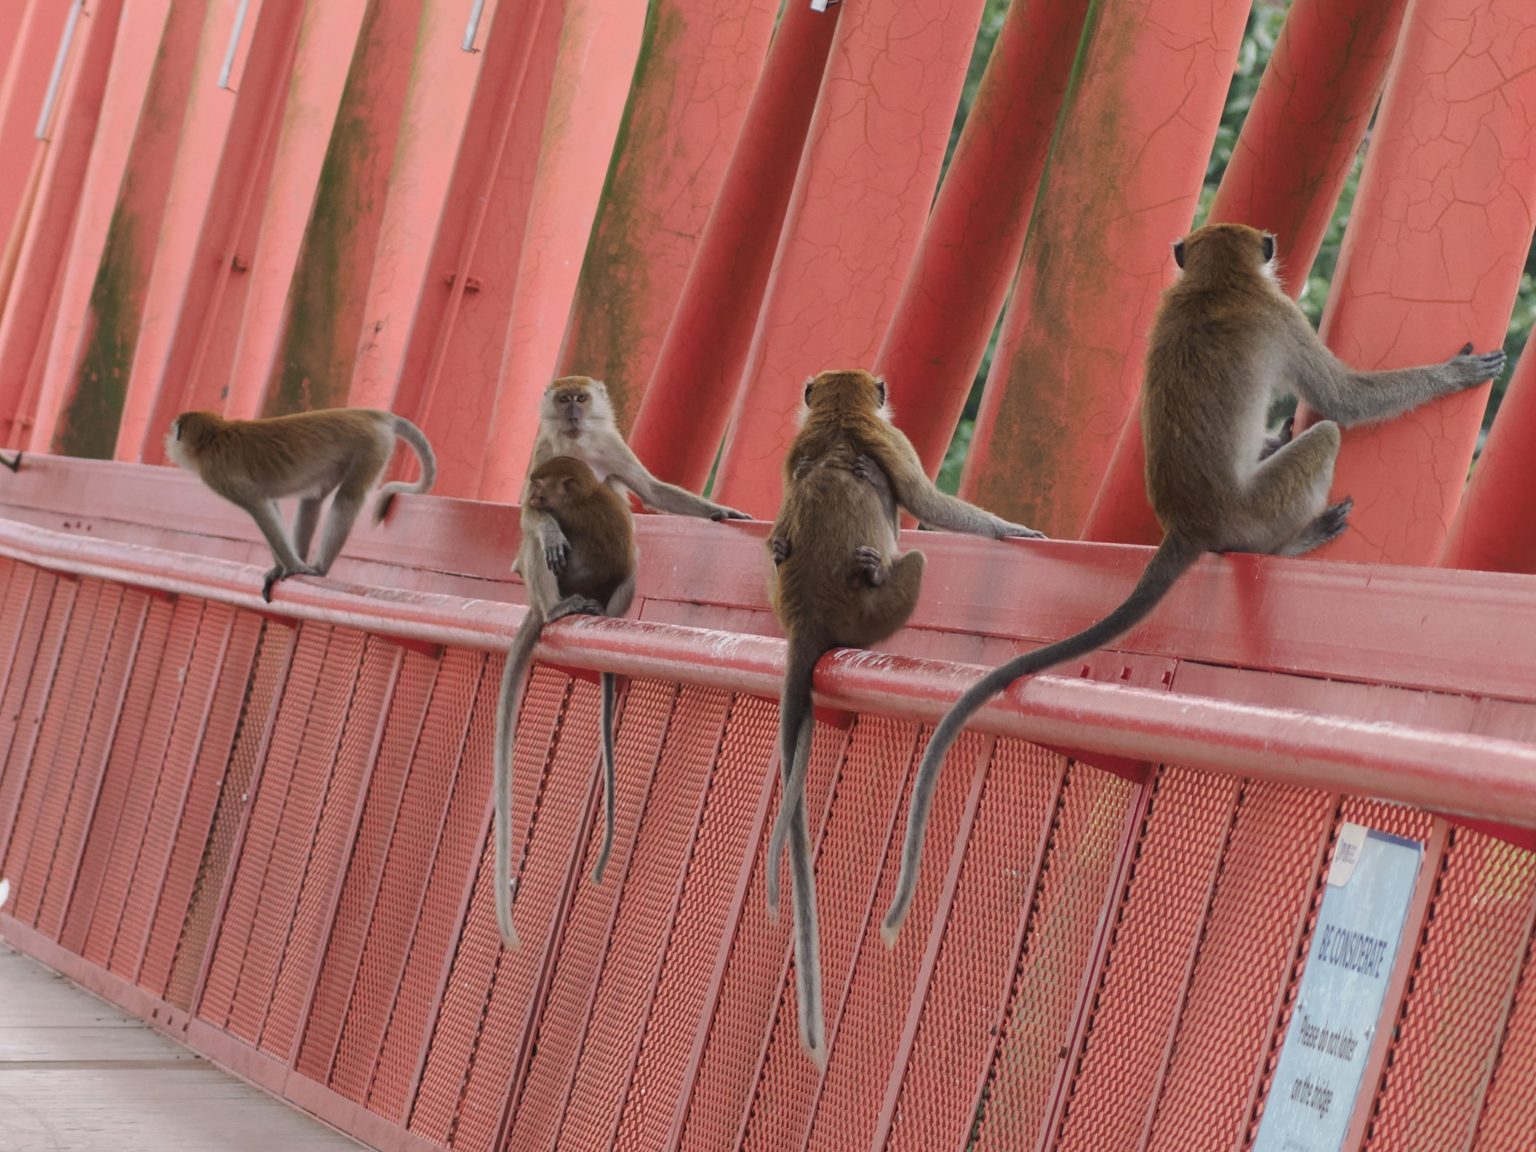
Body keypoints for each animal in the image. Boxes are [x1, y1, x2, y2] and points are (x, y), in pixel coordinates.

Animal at [166, 408, 436, 602]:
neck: (214, 435)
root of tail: (369, 413)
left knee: (347, 497)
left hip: (370, 445)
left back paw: (318, 567)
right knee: (313, 498)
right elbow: (270, 505)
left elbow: (259, 508)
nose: (167, 438)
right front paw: (278, 568)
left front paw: (292, 566)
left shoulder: (218, 475)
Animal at [518, 376, 748, 577]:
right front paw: (551, 534)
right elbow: (531, 506)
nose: (573, 417)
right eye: (564, 399)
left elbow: (652, 490)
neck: (576, 444)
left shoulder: (612, 445)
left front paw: (723, 511)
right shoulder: (544, 449)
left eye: (582, 399)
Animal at [763, 368, 1046, 1064]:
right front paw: (1012, 530)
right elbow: (932, 504)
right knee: (914, 560)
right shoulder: (893, 439)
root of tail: (808, 618)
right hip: (882, 607)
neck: (839, 416)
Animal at [880, 222, 1507, 944]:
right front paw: (1452, 375)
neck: (1213, 282)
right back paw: (1292, 538)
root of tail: (1189, 521)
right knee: (1323, 434)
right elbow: (1345, 400)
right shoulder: (1280, 315)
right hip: (1258, 508)